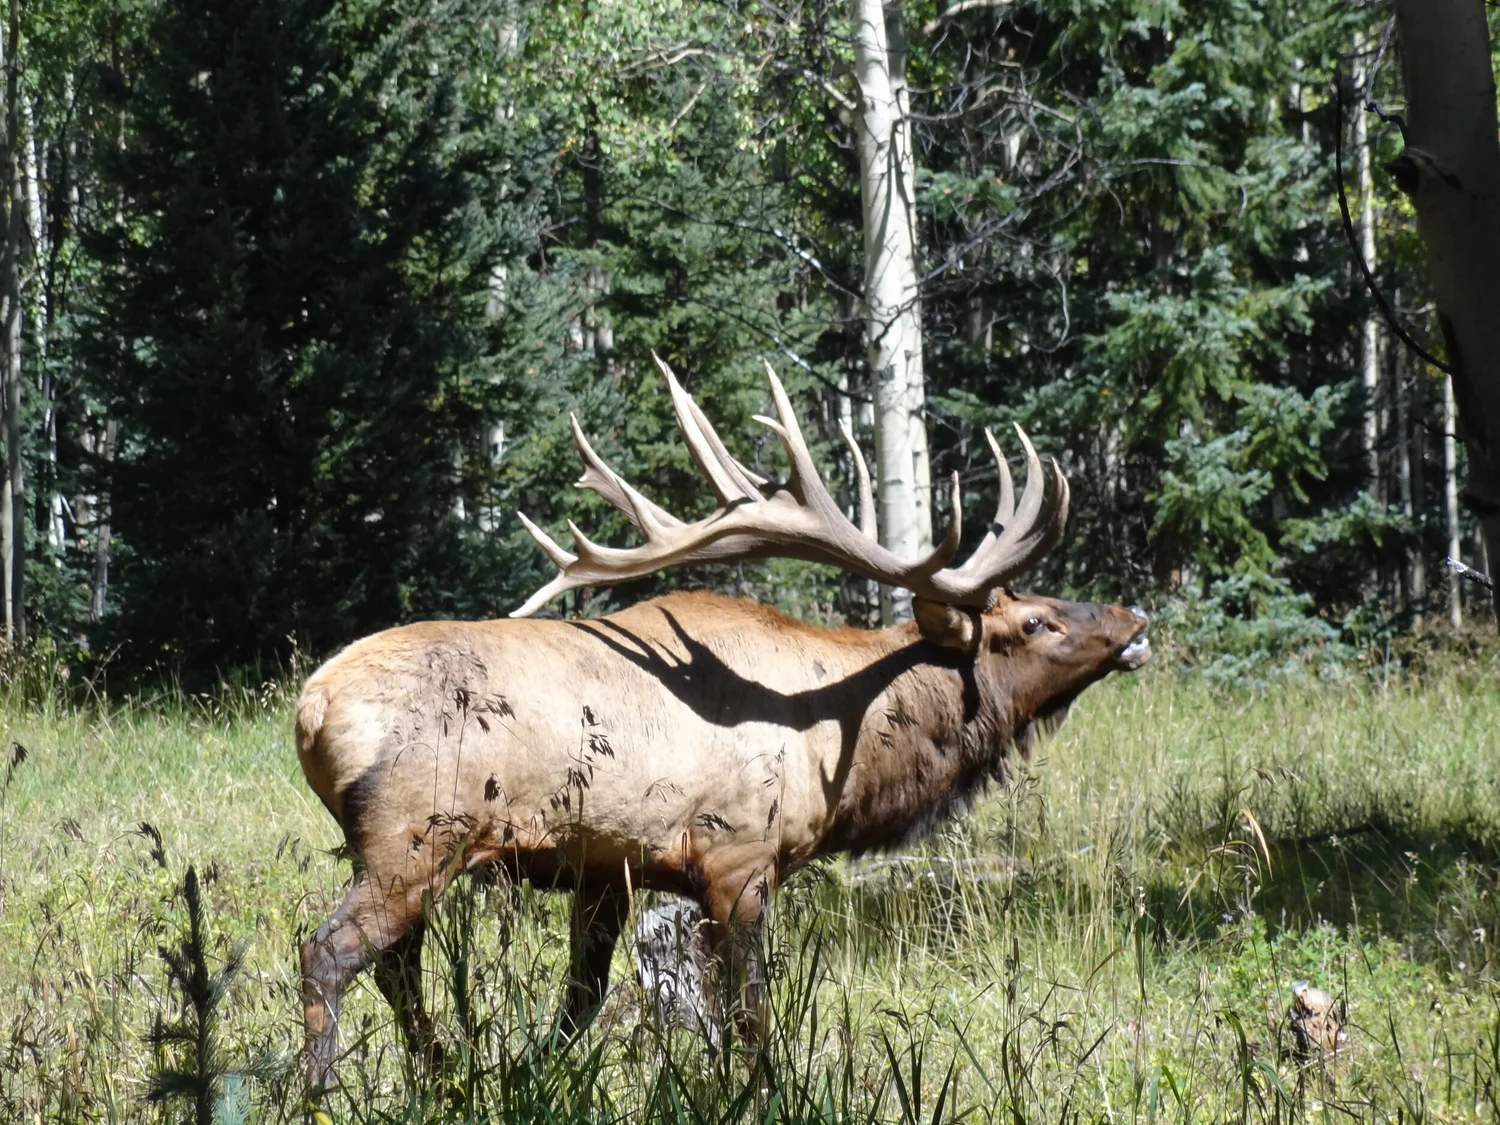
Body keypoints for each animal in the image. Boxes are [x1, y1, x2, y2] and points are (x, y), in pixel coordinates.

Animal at [295, 358, 1151, 1087]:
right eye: (1036, 621)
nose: (1133, 617)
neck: (842, 748)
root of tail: (311, 710)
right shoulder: (737, 856)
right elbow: (749, 1013)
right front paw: (765, 1089)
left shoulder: (606, 865)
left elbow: (582, 996)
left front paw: (526, 1077)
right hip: (413, 837)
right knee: (330, 953)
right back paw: (321, 1089)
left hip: (398, 848)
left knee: (396, 963)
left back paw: (439, 1074)